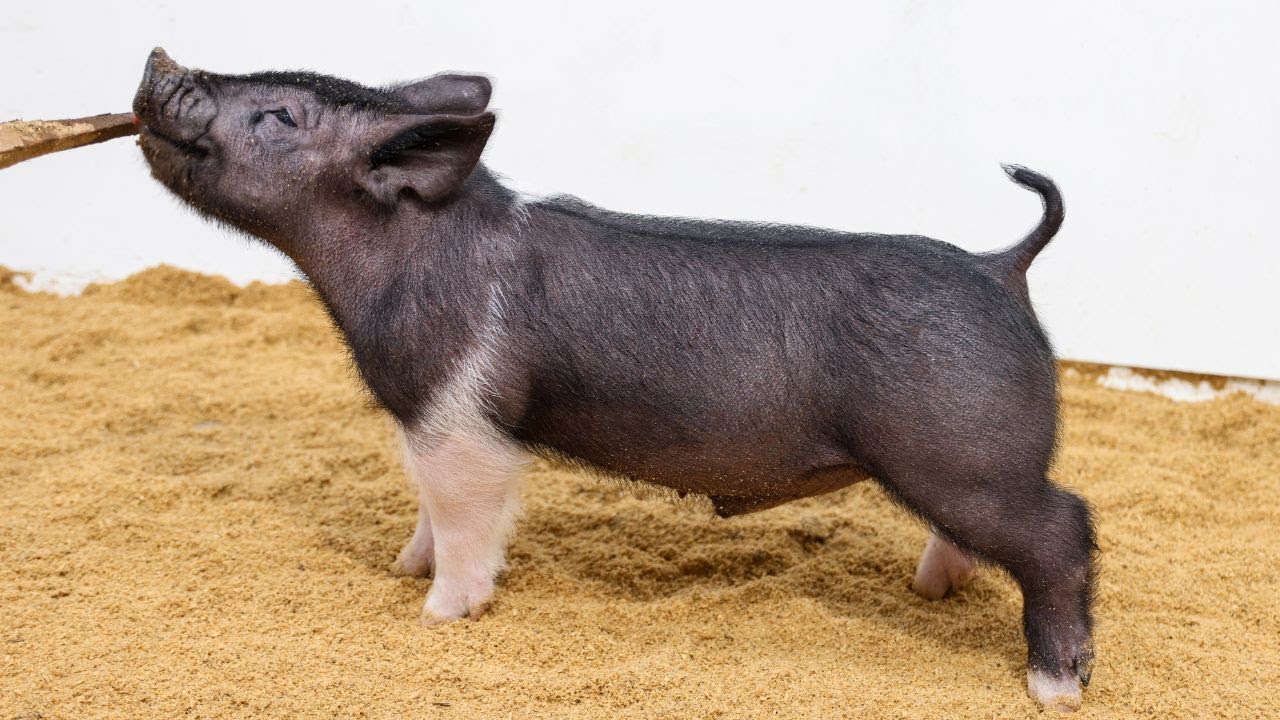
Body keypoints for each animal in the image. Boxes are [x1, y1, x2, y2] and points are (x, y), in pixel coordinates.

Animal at [131, 47, 1097, 711]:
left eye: (280, 117)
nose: (161, 59)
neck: (400, 251)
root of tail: (1001, 267)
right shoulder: (423, 417)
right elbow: (425, 510)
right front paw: (403, 569)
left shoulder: (462, 414)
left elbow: (467, 515)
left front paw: (437, 615)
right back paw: (931, 593)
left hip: (969, 456)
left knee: (1063, 529)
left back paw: (1054, 689)